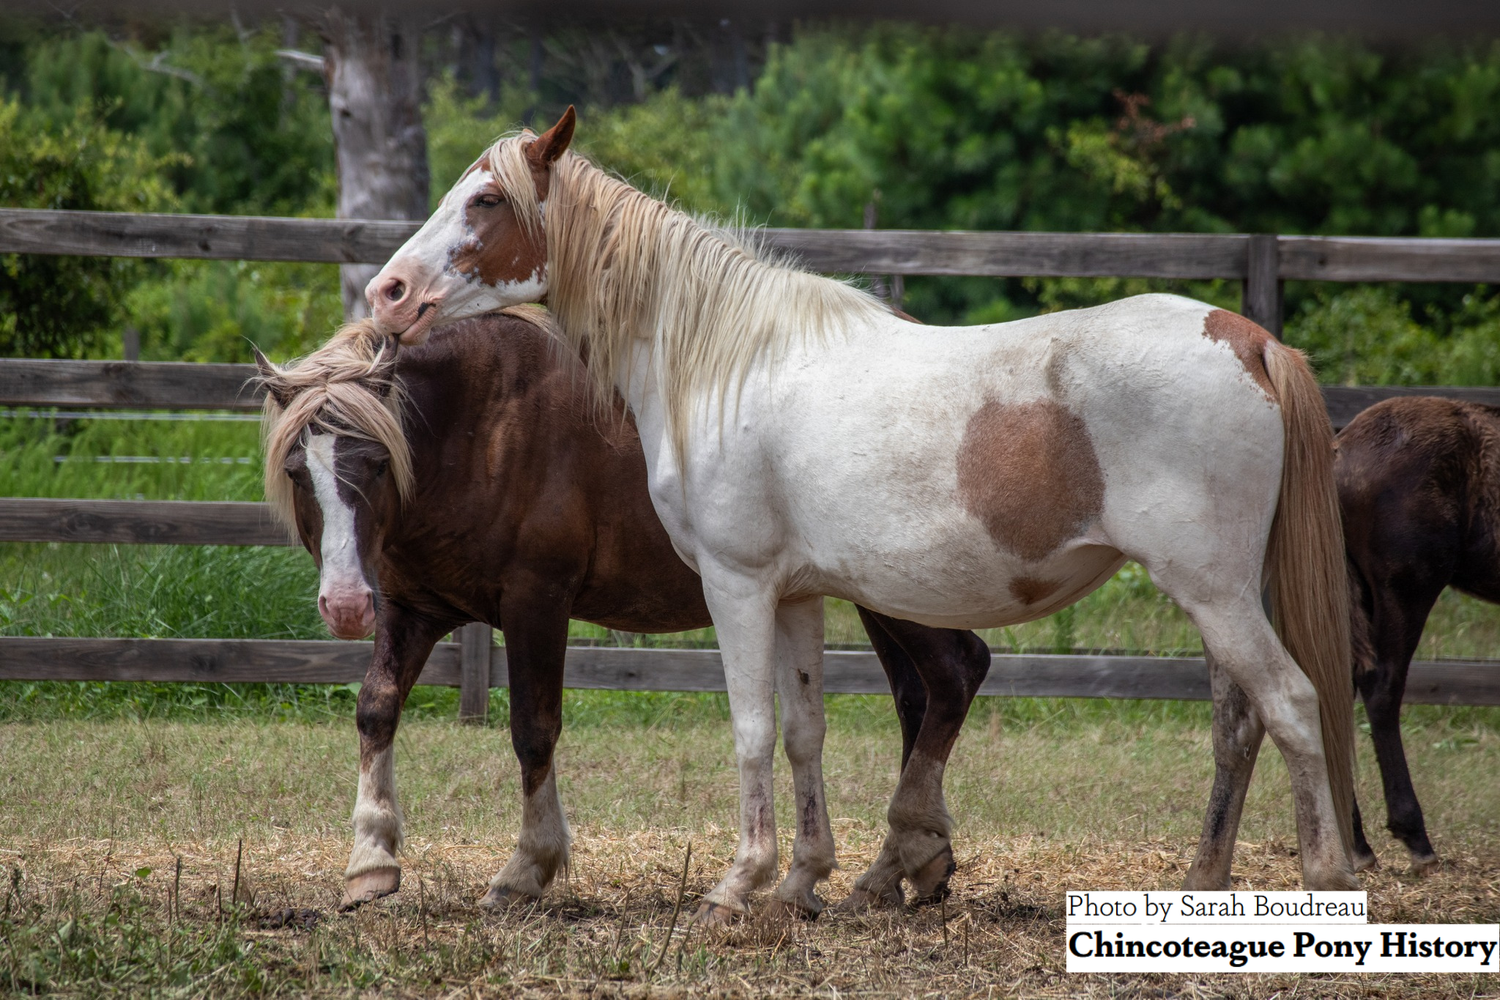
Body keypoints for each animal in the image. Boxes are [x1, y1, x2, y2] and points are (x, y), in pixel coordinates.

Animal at [255, 308, 991, 913]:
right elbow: (375, 709)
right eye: (297, 471)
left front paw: (527, 868)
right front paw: (370, 861)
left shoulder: (537, 601)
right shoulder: (412, 609)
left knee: (954, 676)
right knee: (919, 696)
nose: (345, 604)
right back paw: (906, 867)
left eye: (378, 463)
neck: (482, 425)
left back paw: (906, 857)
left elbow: (533, 730)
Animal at [363, 109, 1360, 919]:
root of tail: (1250, 339)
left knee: (1292, 704)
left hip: (1213, 591)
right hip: (1218, 596)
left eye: (487, 198)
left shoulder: (737, 585)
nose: (388, 294)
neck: (726, 360)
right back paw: (1201, 883)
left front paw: (738, 884)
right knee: (1238, 726)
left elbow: (752, 730)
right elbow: (806, 733)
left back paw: (1325, 877)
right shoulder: (801, 595)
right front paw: (803, 881)